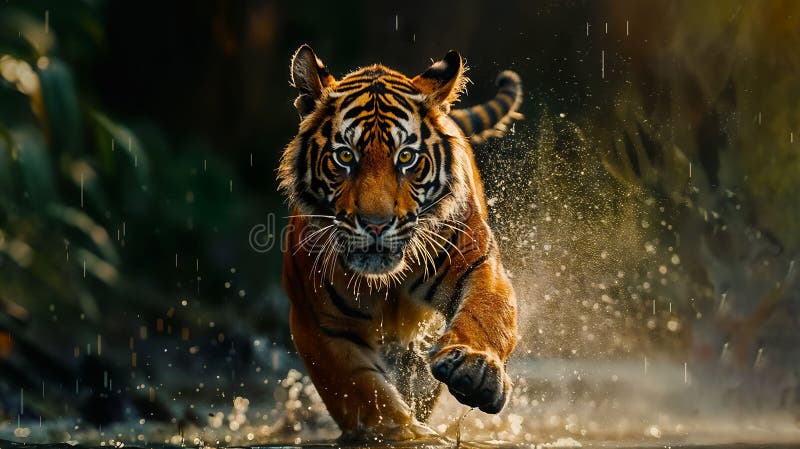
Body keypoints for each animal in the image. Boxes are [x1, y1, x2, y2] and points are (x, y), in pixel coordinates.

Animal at [278, 44, 522, 441]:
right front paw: (400, 433)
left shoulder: (479, 263)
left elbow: (485, 314)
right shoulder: (316, 324)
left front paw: (475, 370)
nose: (376, 224)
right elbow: (361, 392)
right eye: (345, 156)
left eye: (406, 157)